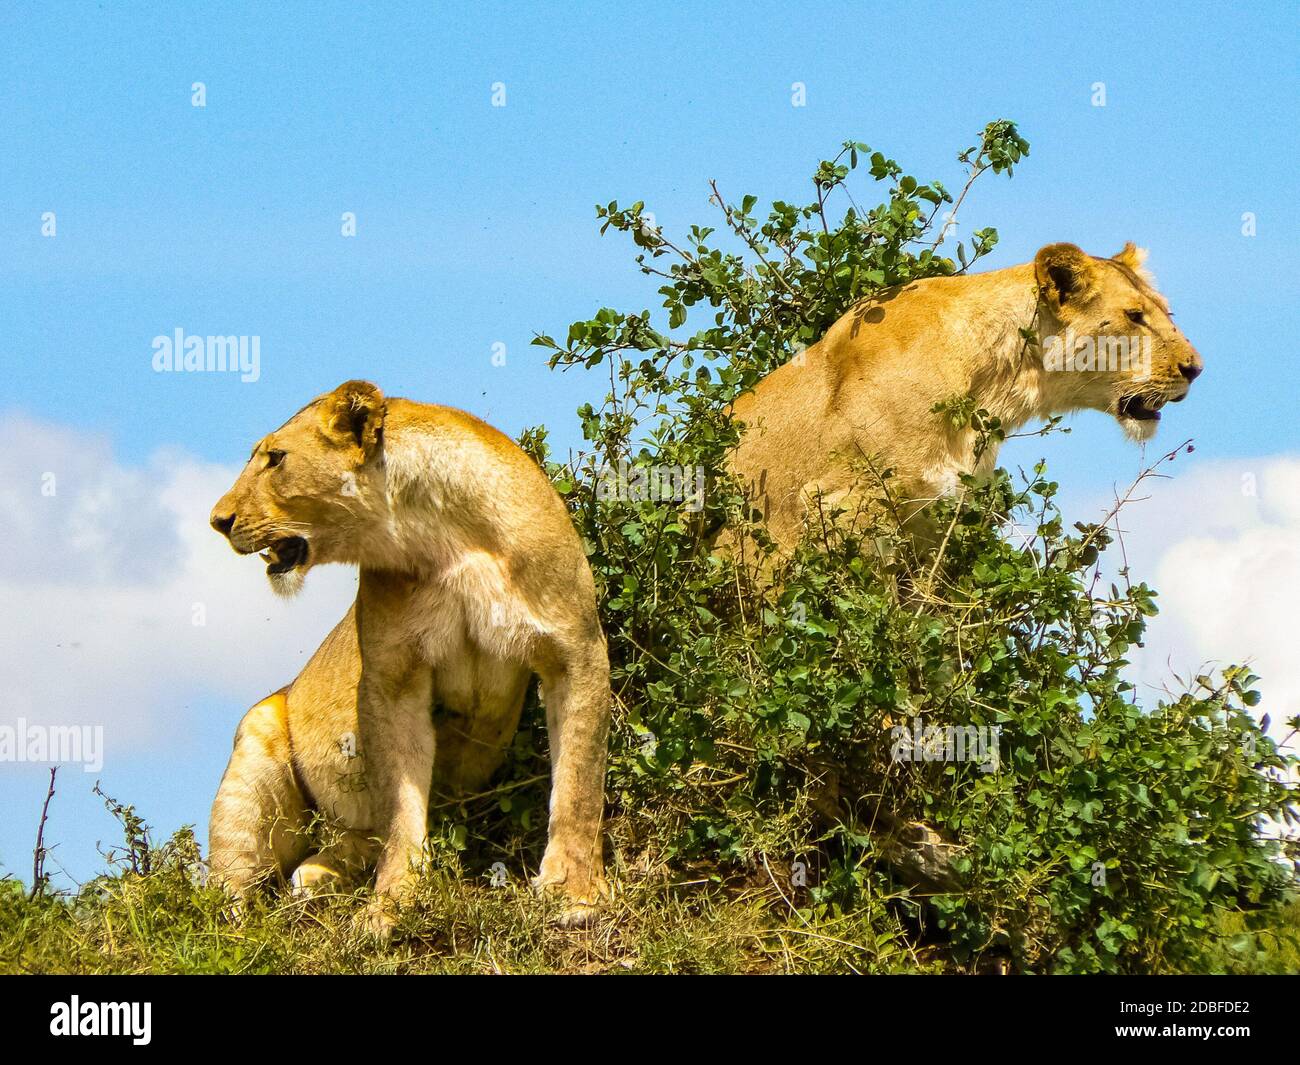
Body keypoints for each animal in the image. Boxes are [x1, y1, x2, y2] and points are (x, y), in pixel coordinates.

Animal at [207, 380, 611, 932]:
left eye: (275, 458)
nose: (217, 521)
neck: (442, 533)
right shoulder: (391, 677)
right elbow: (400, 806)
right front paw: (391, 906)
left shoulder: (576, 648)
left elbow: (579, 783)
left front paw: (575, 893)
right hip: (255, 738)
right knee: (230, 893)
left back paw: (321, 876)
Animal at [729, 242, 1203, 552]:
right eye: (1135, 316)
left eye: (1166, 311)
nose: (1195, 369)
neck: (995, 387)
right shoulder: (843, 501)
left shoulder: (944, 516)